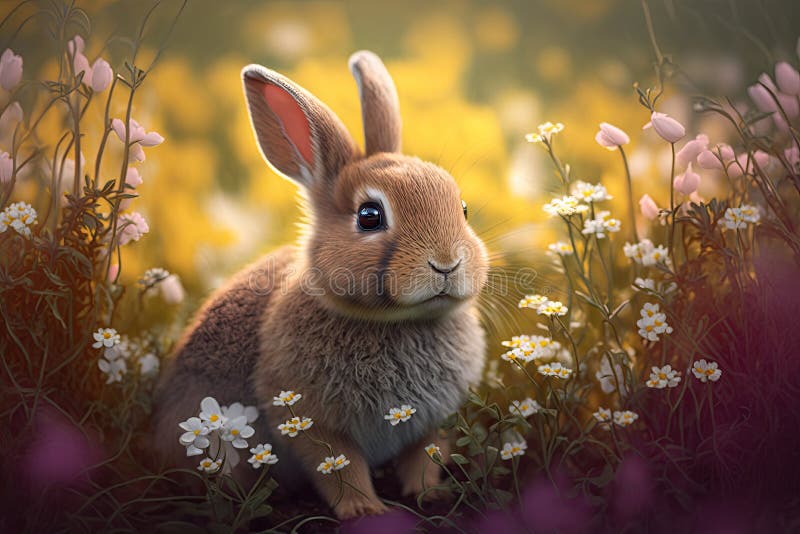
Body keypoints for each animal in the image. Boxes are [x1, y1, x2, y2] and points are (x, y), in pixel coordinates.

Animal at [153, 50, 489, 519]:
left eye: (463, 209)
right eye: (369, 216)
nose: (447, 263)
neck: (394, 320)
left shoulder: (432, 421)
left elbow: (424, 458)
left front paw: (429, 496)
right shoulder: (309, 416)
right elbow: (338, 466)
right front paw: (365, 511)